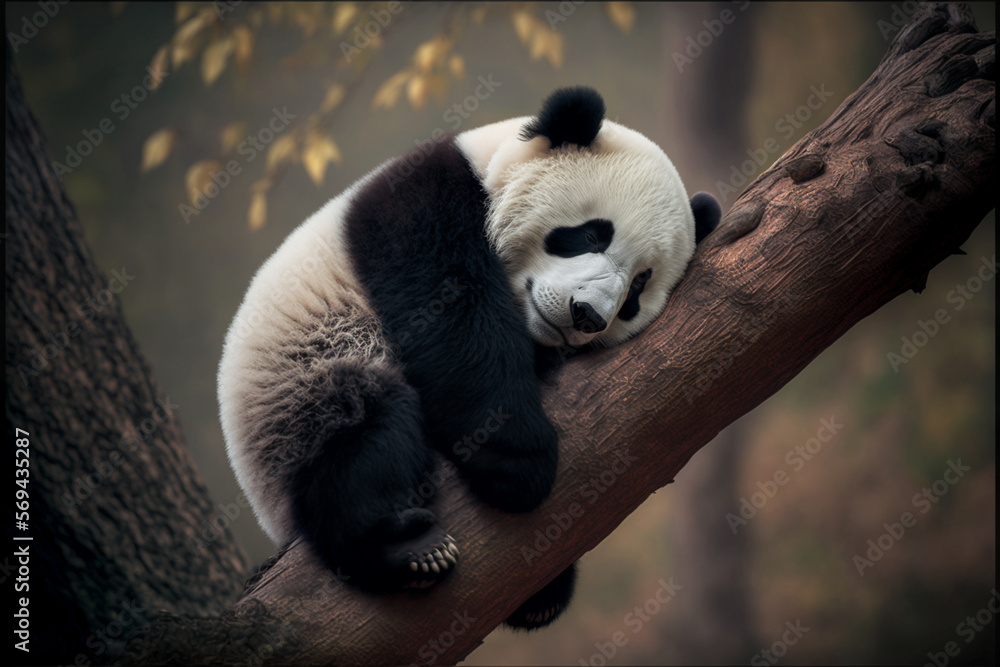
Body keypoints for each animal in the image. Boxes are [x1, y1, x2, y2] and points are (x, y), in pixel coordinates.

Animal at [218, 86, 720, 630]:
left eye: (638, 289)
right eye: (591, 235)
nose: (586, 315)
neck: (487, 166)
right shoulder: (421, 209)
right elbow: (455, 316)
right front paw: (516, 458)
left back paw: (543, 597)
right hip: (306, 387)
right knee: (363, 442)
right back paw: (404, 548)